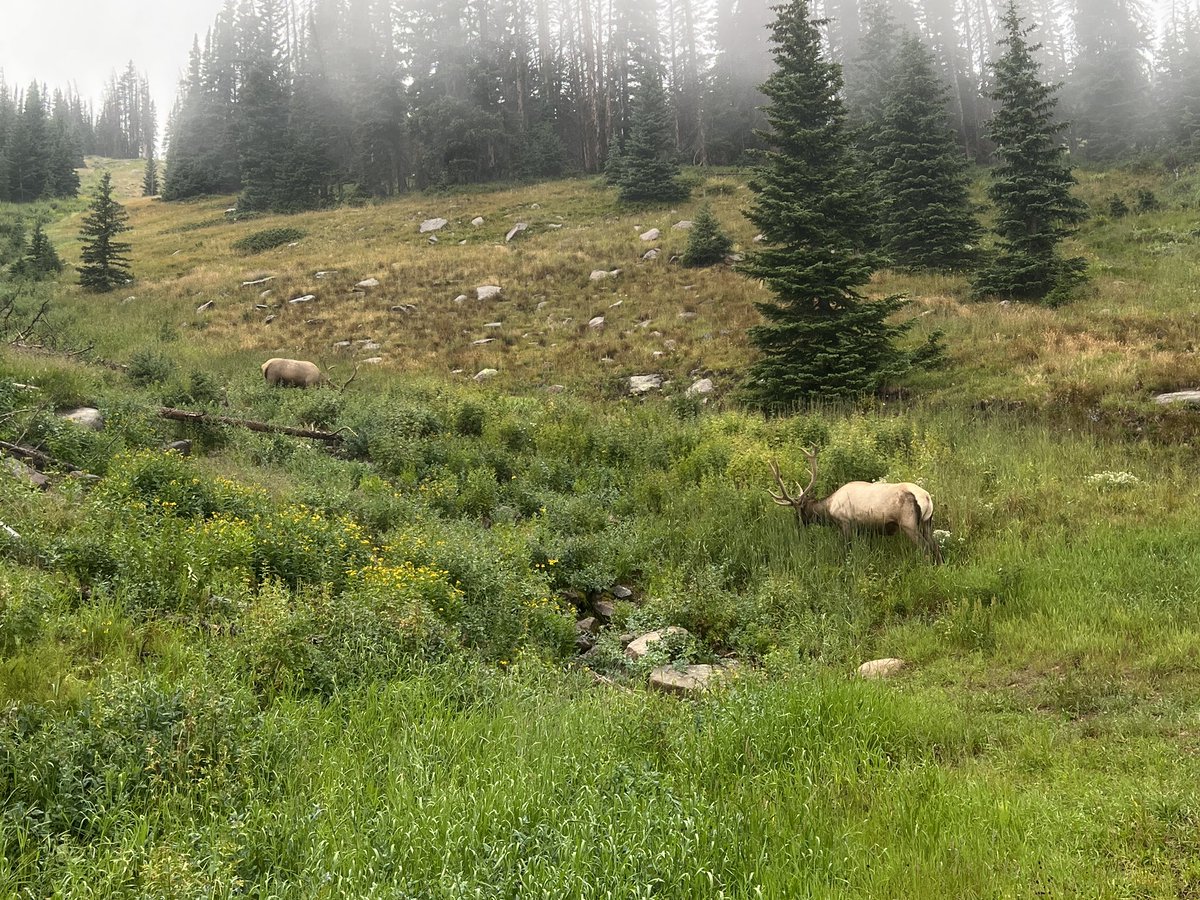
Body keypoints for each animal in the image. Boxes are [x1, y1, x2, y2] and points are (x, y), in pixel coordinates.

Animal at [768, 450, 943, 564]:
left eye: (798, 511)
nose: (796, 524)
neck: (829, 509)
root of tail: (926, 498)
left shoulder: (845, 523)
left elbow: (847, 549)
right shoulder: (864, 530)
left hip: (908, 523)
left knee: (925, 547)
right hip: (927, 521)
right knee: (935, 546)